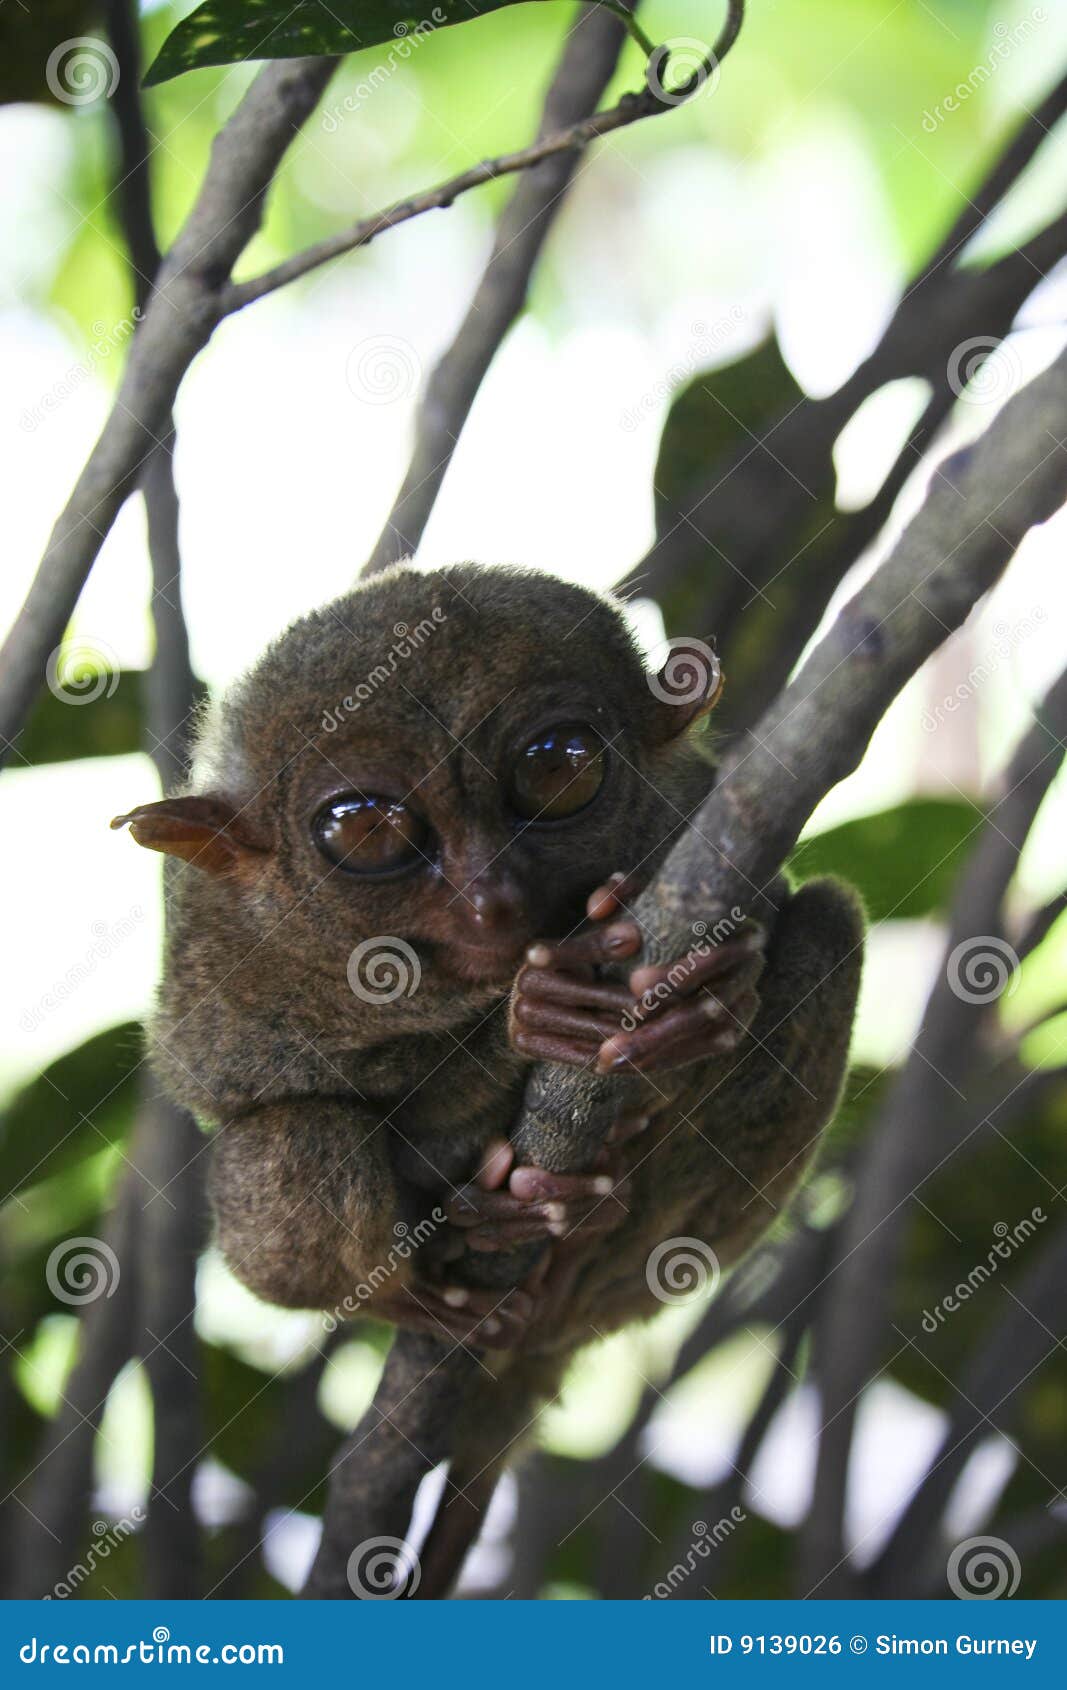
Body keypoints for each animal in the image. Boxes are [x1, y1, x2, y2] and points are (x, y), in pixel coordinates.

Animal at [113, 562, 862, 1550]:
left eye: (557, 766)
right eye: (365, 830)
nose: (491, 899)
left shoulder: (696, 809)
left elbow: (771, 901)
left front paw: (719, 992)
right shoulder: (218, 948)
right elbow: (221, 1066)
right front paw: (527, 1016)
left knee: (827, 930)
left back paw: (580, 1238)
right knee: (298, 1135)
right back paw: (423, 1282)